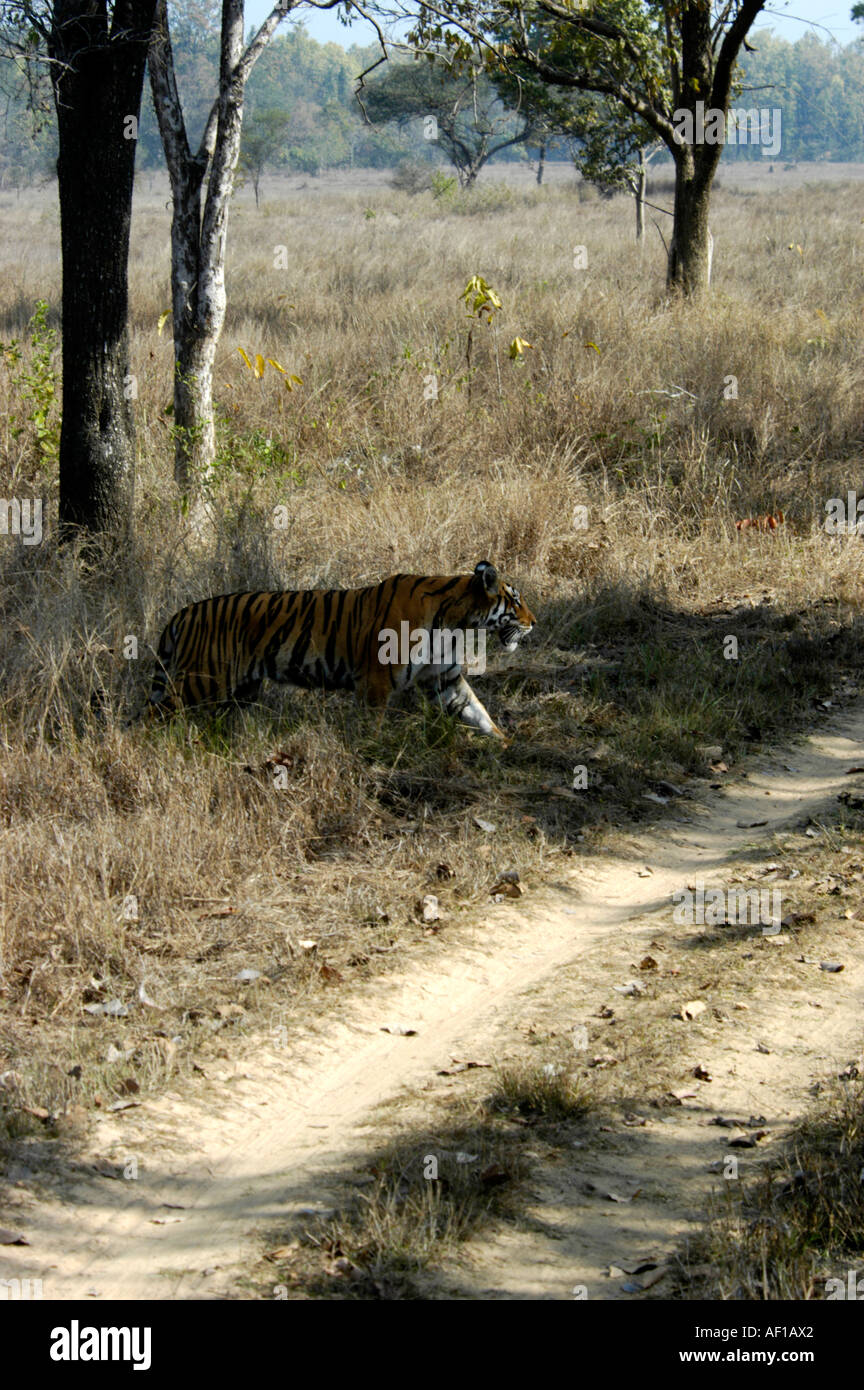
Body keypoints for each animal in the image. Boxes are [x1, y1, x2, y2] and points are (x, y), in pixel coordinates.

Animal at [146, 560, 536, 740]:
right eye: (515, 600)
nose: (534, 622)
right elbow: (372, 726)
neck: (456, 622)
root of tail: (184, 612)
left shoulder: (445, 680)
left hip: (240, 691)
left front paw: (506, 745)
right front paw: (372, 755)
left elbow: (479, 713)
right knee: (154, 714)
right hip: (202, 681)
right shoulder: (376, 682)